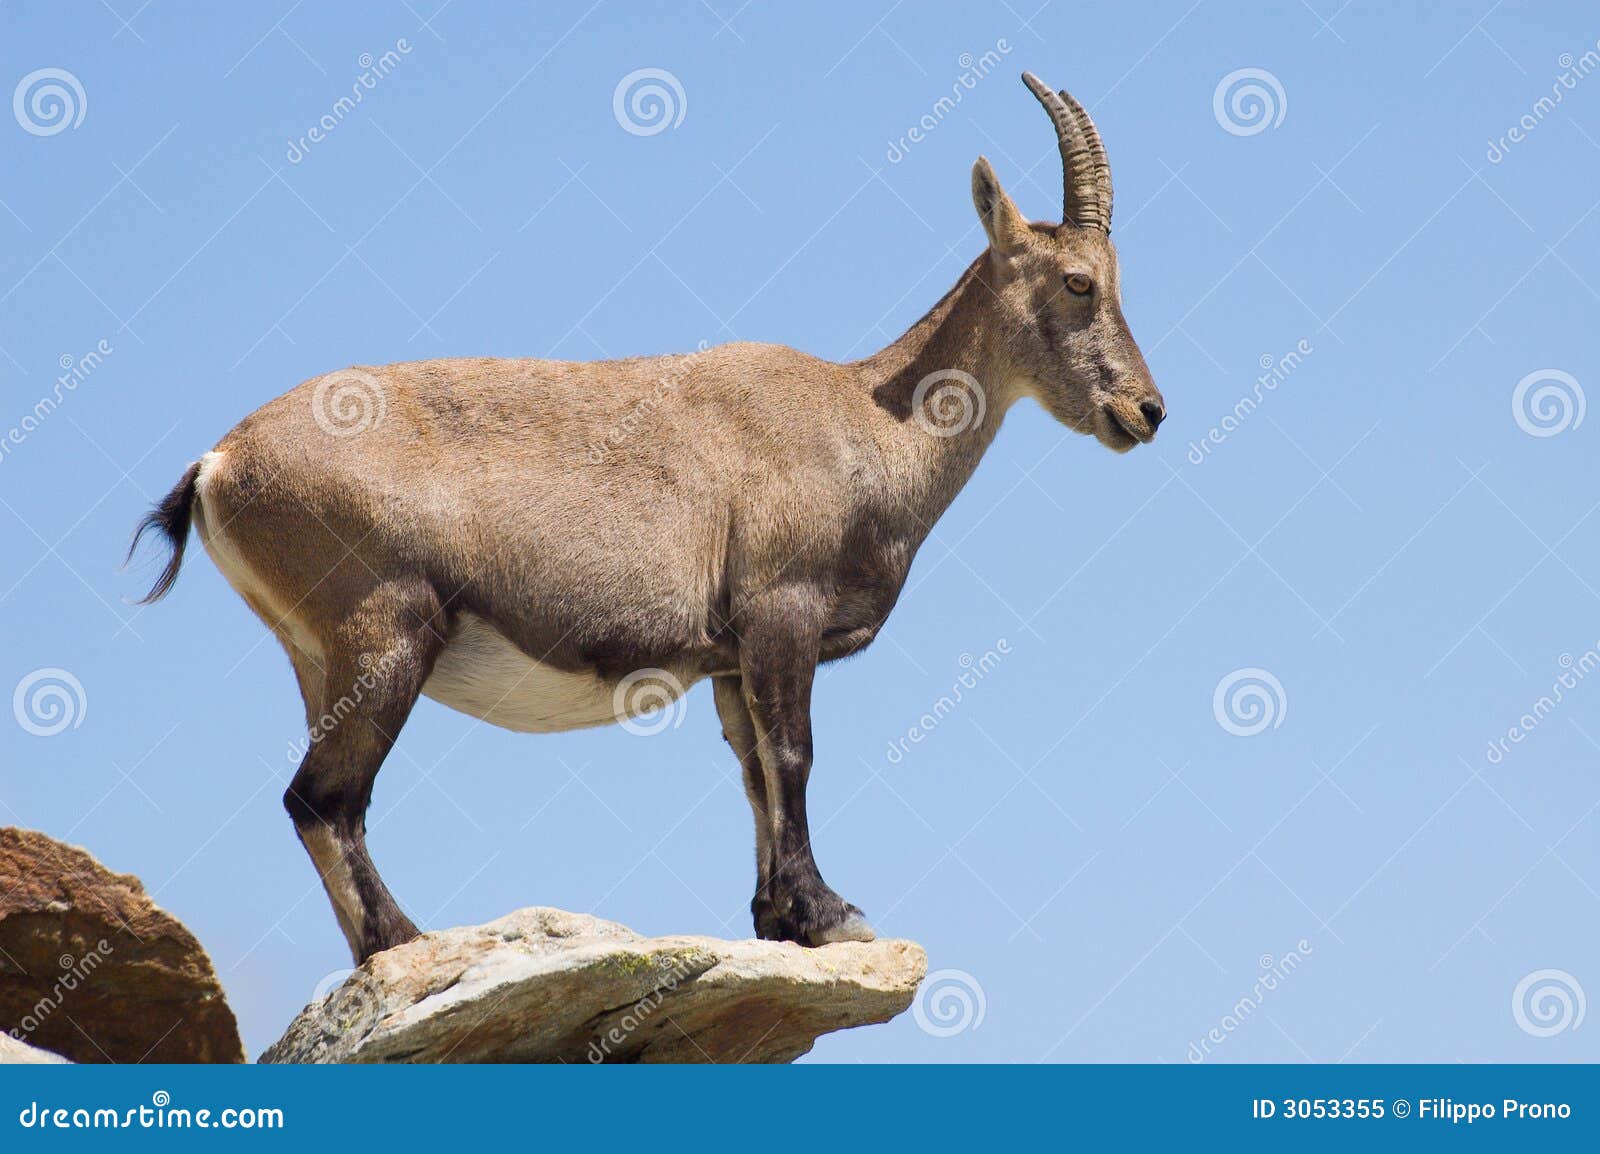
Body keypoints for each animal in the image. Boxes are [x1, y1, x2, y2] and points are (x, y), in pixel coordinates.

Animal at [129, 73, 1164, 963]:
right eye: (1078, 281)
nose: (1147, 411)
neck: (867, 420)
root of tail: (218, 464)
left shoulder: (730, 656)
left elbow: (751, 770)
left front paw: (777, 918)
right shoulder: (780, 611)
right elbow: (793, 754)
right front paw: (832, 915)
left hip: (318, 659)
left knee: (319, 803)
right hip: (384, 630)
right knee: (324, 799)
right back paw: (406, 941)